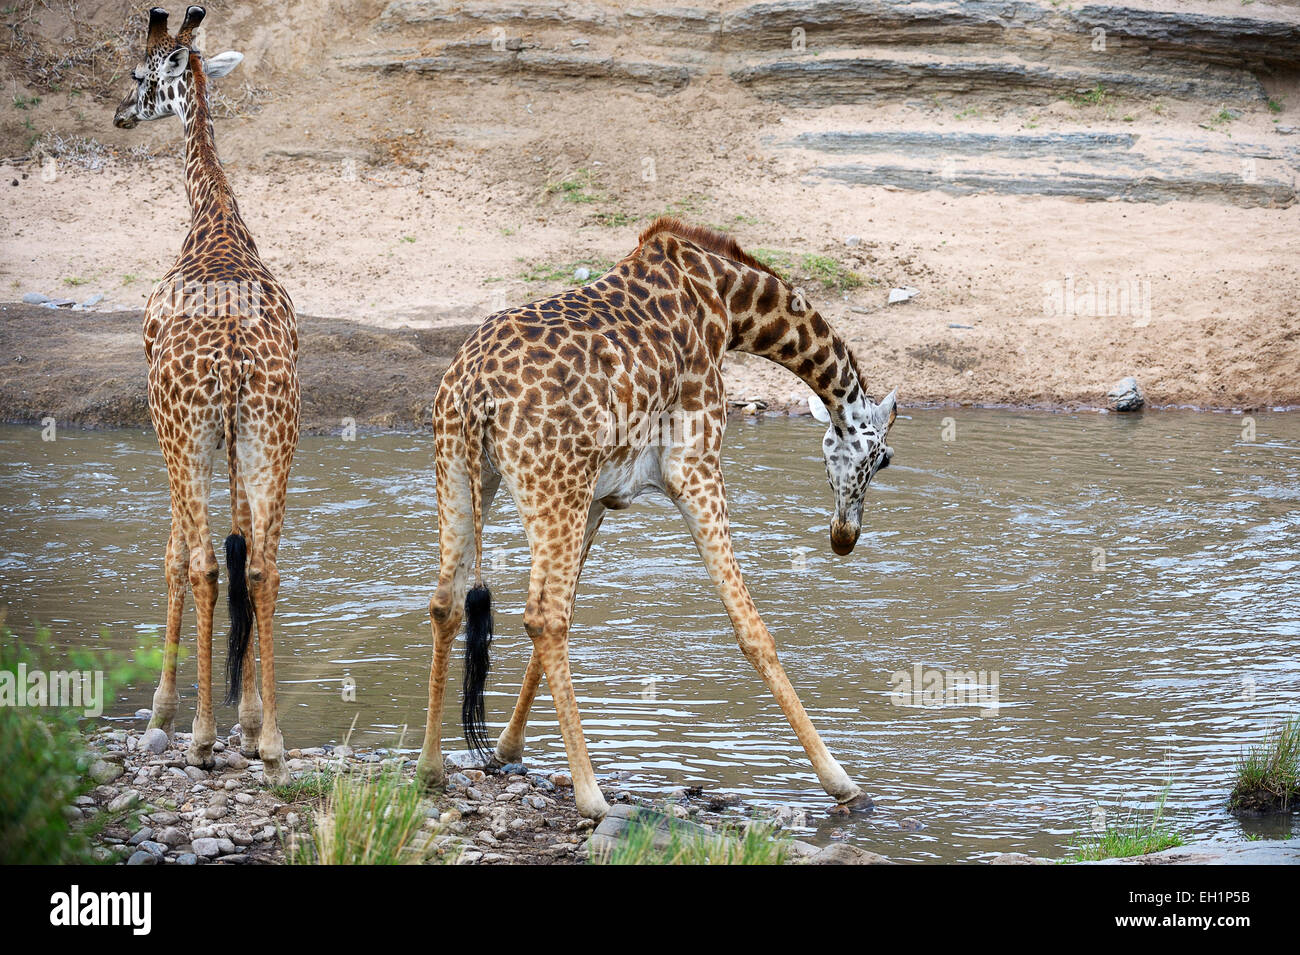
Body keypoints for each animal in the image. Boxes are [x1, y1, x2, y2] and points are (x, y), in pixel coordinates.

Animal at [416, 217, 897, 819]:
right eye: (883, 459)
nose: (844, 537)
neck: (727, 302)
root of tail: (474, 388)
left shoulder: (601, 495)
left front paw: (506, 748)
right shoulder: (696, 466)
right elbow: (751, 629)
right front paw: (842, 783)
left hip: (464, 471)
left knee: (449, 602)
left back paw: (430, 769)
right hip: (549, 485)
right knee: (543, 618)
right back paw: (592, 796)